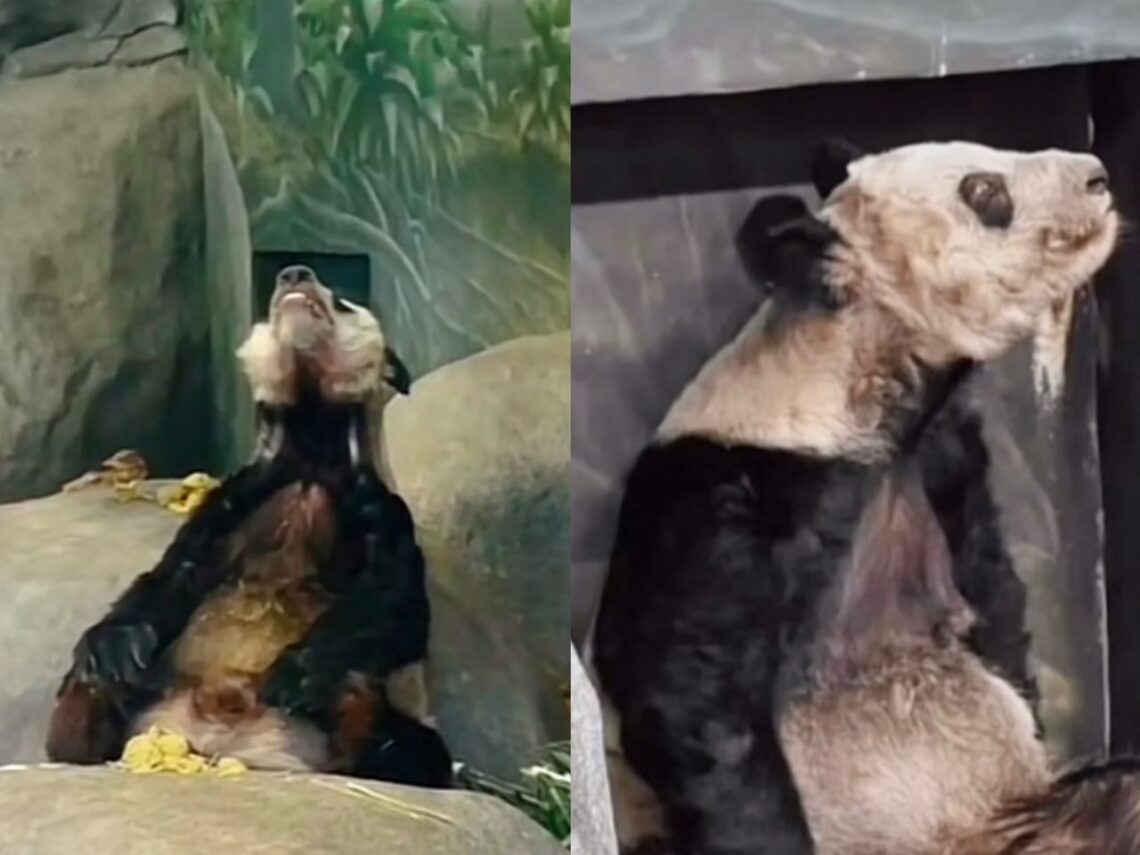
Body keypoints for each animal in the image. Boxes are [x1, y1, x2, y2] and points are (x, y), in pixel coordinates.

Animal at [45, 264, 453, 787]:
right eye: (273, 297)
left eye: (342, 301)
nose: (295, 273)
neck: (312, 442)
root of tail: (229, 743)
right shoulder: (238, 497)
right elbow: (172, 575)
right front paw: (119, 643)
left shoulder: (377, 506)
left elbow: (395, 603)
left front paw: (298, 673)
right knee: (84, 695)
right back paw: (96, 703)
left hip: (379, 719)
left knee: (407, 745)